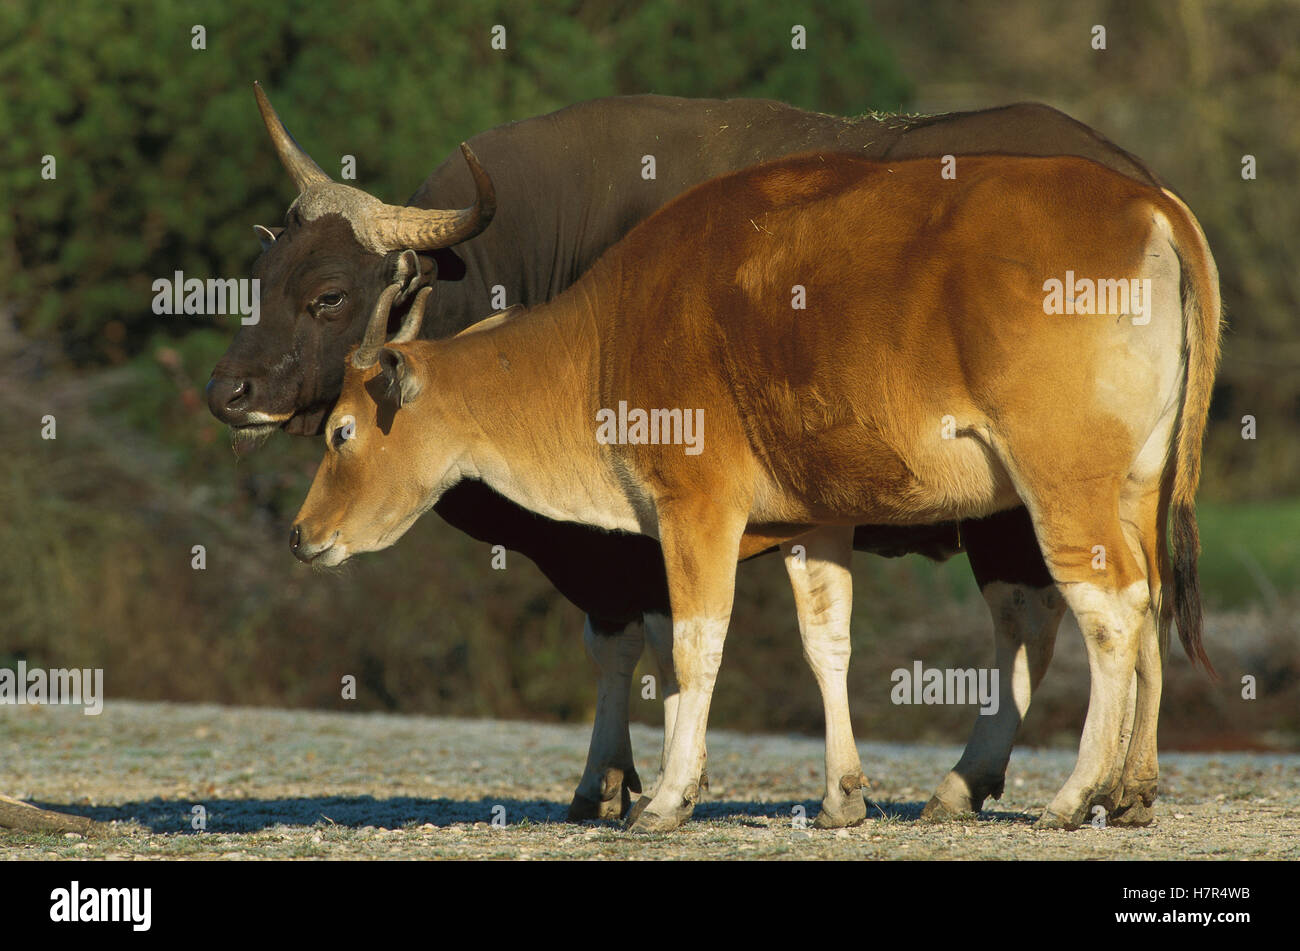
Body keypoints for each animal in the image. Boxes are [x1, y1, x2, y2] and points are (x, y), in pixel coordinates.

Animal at [210, 85, 1172, 826]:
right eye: (258, 278)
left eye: (330, 294)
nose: (228, 391)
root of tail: (1145, 195)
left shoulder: (651, 525)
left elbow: (659, 644)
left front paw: (633, 786)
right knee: (1136, 599)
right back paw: (1126, 786)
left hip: (1028, 499)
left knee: (1048, 615)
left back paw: (995, 782)